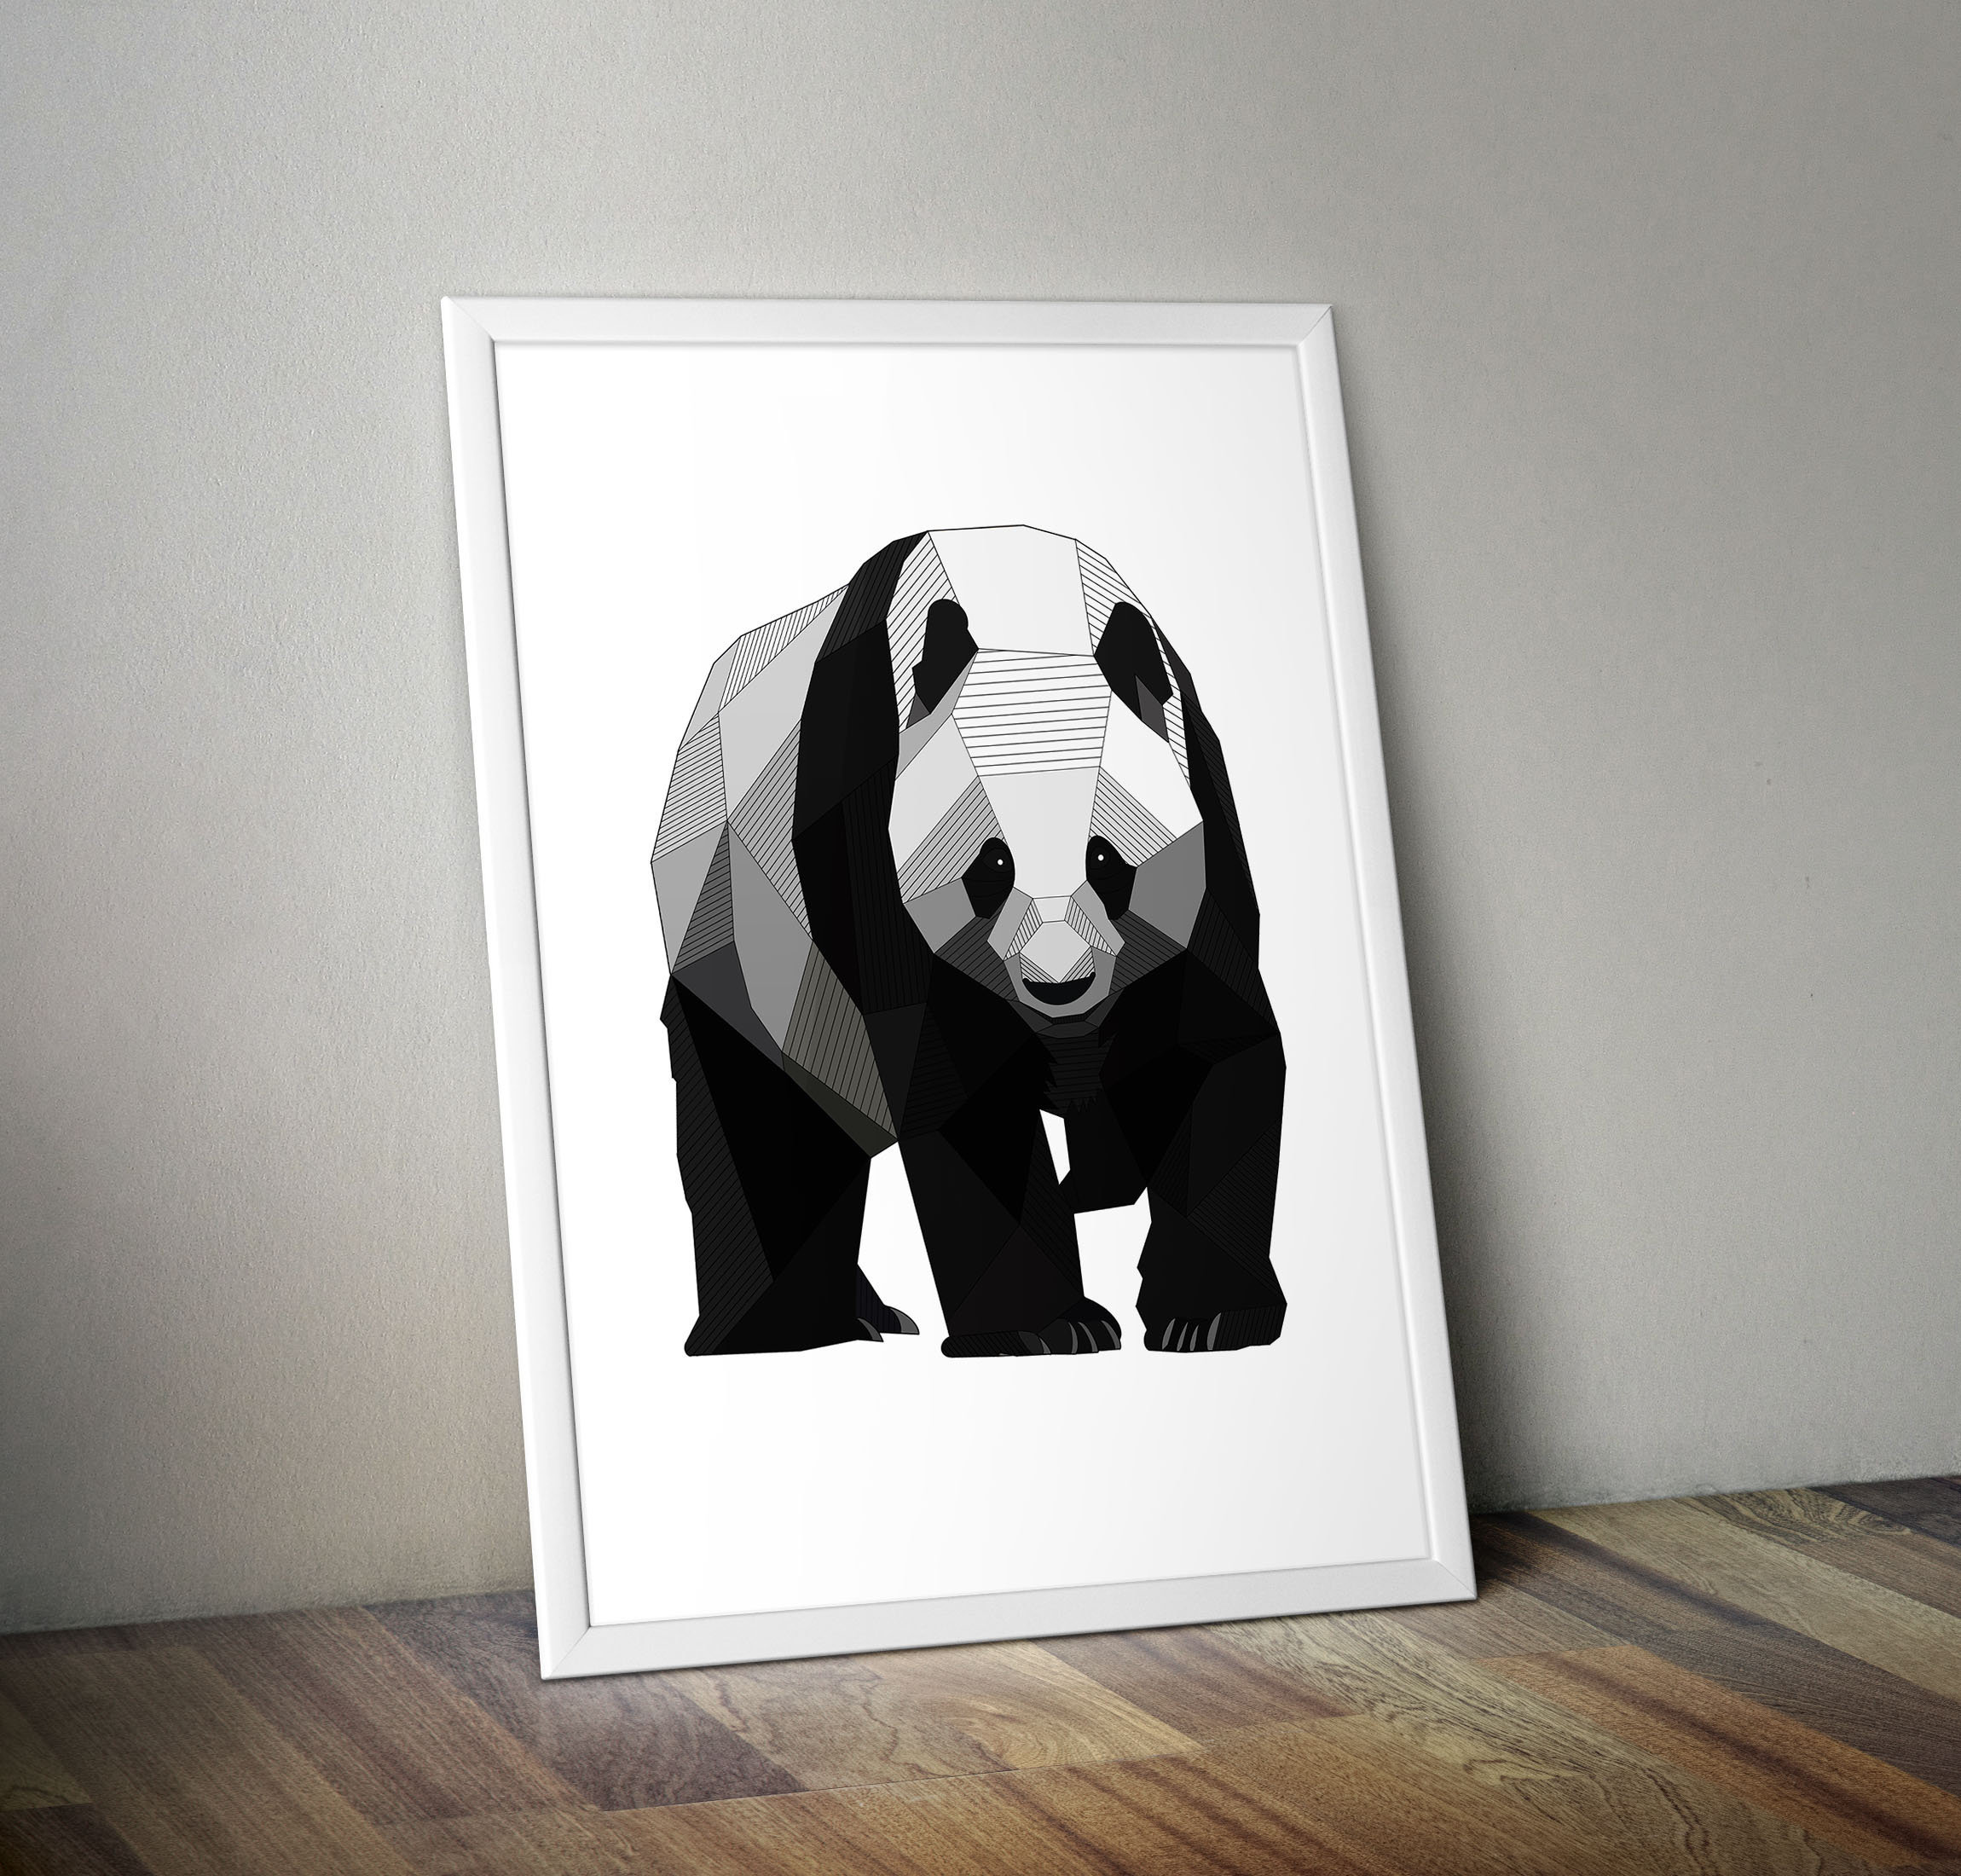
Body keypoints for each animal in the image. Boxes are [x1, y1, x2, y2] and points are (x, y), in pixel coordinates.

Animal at [651, 526, 1286, 1357]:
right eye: (991, 866)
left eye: (1107, 860)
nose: (1059, 987)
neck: (1024, 610)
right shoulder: (871, 863)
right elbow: (963, 1090)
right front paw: (1051, 1326)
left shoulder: (1204, 829)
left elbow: (1214, 1056)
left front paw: (1208, 1317)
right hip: (739, 957)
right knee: (764, 1126)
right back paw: (793, 1328)